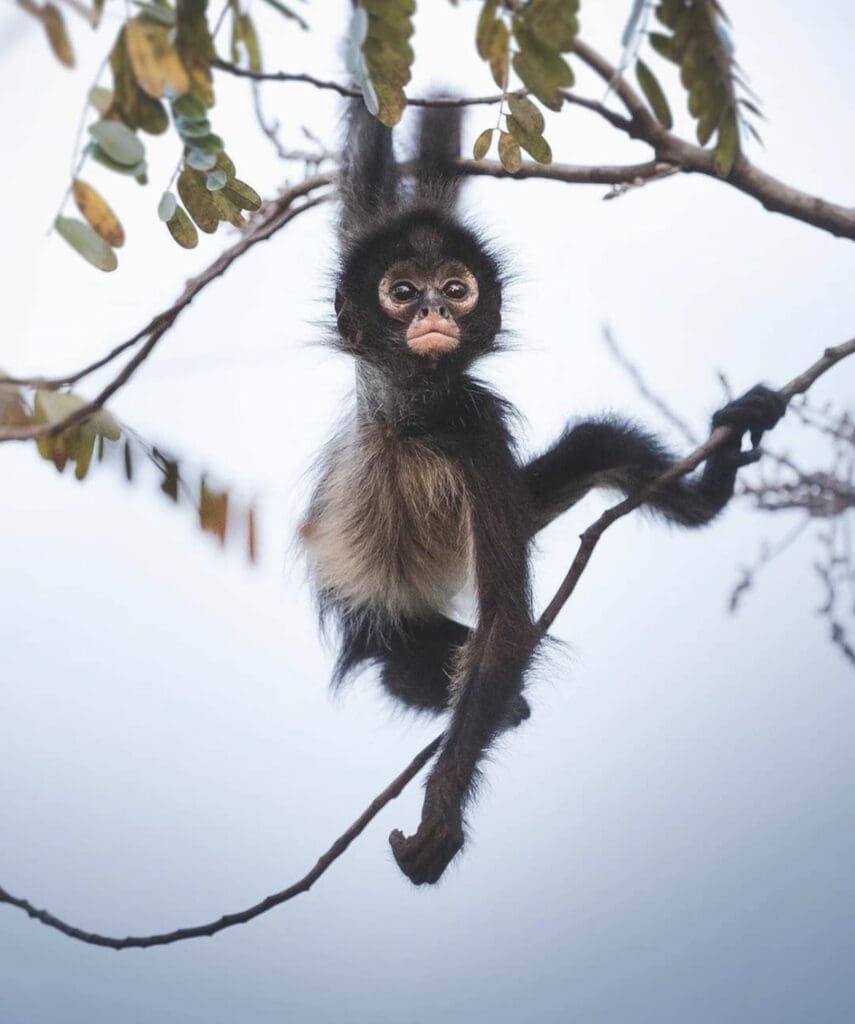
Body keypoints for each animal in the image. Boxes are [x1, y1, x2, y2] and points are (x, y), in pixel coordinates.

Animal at [299, 101, 785, 886]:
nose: (432, 310)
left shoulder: (478, 429)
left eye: (454, 289)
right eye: (402, 293)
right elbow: (366, 191)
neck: (412, 410)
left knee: (595, 447)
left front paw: (441, 813)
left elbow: (503, 626)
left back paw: (710, 490)